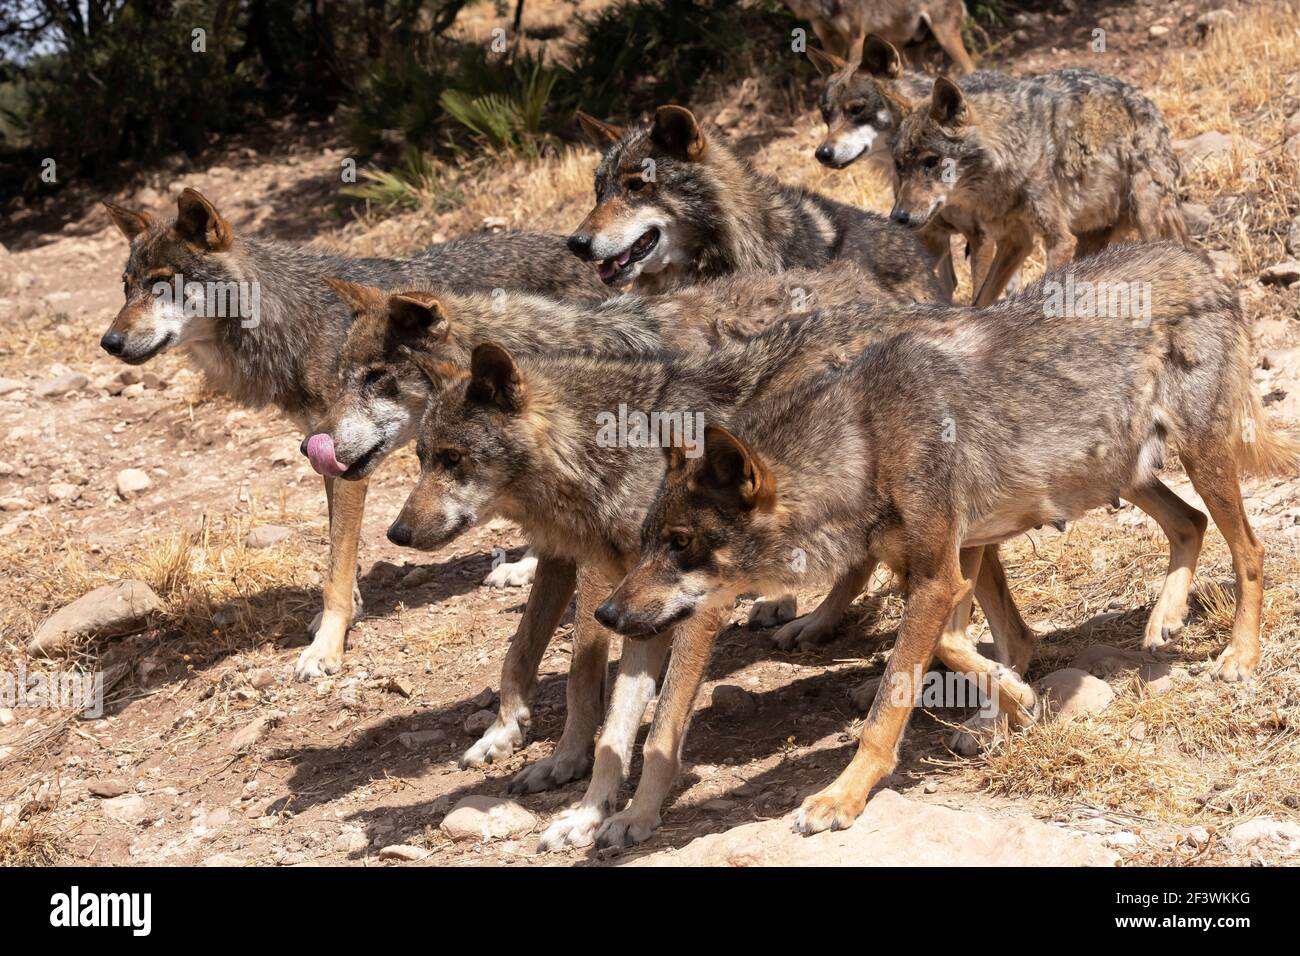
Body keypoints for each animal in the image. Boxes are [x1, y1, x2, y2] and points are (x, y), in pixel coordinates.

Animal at [99, 188, 606, 681]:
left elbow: (336, 567)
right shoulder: (324, 446)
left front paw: (326, 647)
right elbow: (336, 551)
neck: (293, 323)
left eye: (163, 284)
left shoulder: (347, 461)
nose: (109, 342)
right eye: (126, 287)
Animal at [594, 242, 1294, 844]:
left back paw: (1239, 656)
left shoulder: (938, 574)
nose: (605, 613)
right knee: (1190, 524)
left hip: (1198, 458)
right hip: (1122, 472)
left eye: (681, 544)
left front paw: (841, 798)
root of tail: (1194, 257)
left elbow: (891, 702)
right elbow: (968, 645)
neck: (867, 442)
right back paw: (1164, 617)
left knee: (1251, 551)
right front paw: (1012, 699)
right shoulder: (949, 561)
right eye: (648, 541)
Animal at [890, 69, 1191, 307]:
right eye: (899, 165)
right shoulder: (1016, 242)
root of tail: (1149, 104)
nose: (898, 217)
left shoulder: (1058, 239)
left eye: (931, 161)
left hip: (1147, 217)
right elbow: (981, 300)